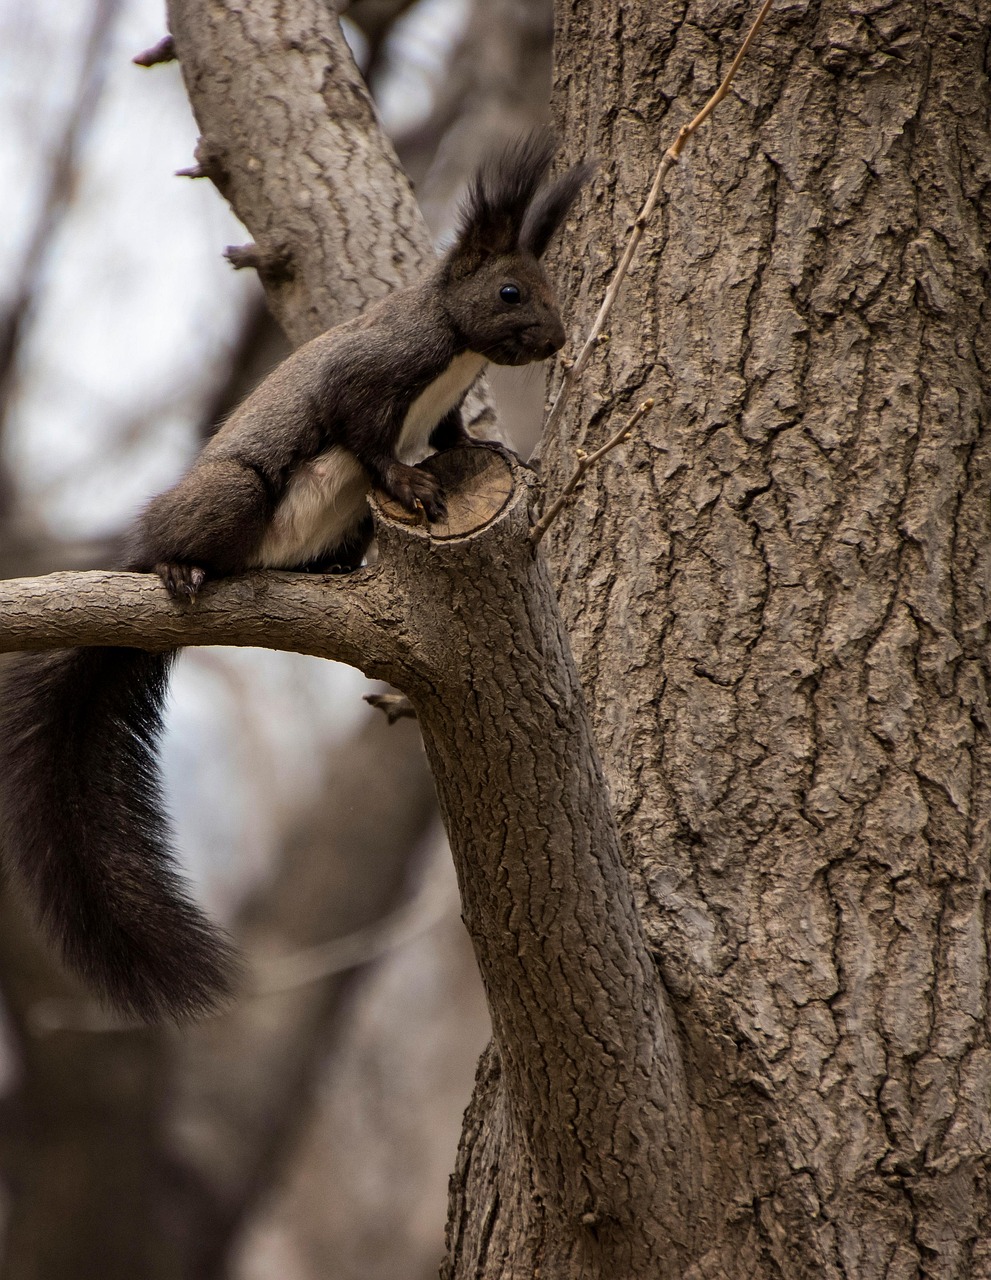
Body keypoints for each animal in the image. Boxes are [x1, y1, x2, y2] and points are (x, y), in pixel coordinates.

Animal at [0, 133, 592, 1022]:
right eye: (511, 290)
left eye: (547, 287)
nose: (555, 339)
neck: (452, 346)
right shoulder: (369, 378)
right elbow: (368, 439)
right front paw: (413, 482)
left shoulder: (443, 408)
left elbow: (453, 436)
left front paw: (497, 454)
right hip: (232, 494)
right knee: (184, 537)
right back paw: (176, 564)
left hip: (339, 527)